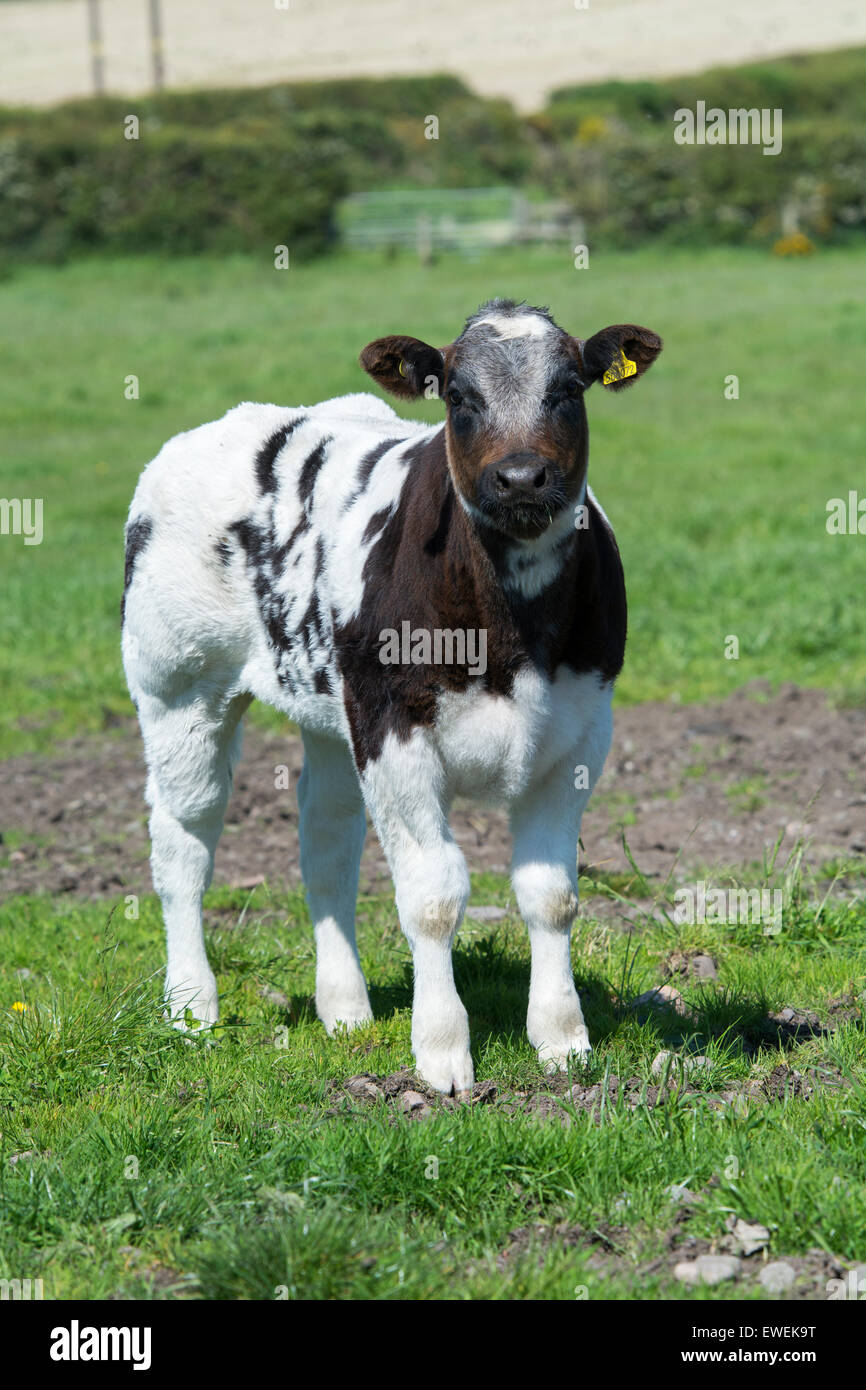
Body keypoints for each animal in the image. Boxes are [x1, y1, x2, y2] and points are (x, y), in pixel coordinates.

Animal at [121, 298, 662, 1096]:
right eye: (458, 396)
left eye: (569, 388)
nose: (521, 478)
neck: (508, 626)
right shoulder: (393, 730)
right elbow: (432, 896)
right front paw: (441, 1051)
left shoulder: (580, 733)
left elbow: (551, 893)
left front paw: (562, 1039)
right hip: (177, 686)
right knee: (184, 838)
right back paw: (192, 1004)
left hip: (328, 711)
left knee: (326, 839)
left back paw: (344, 1007)